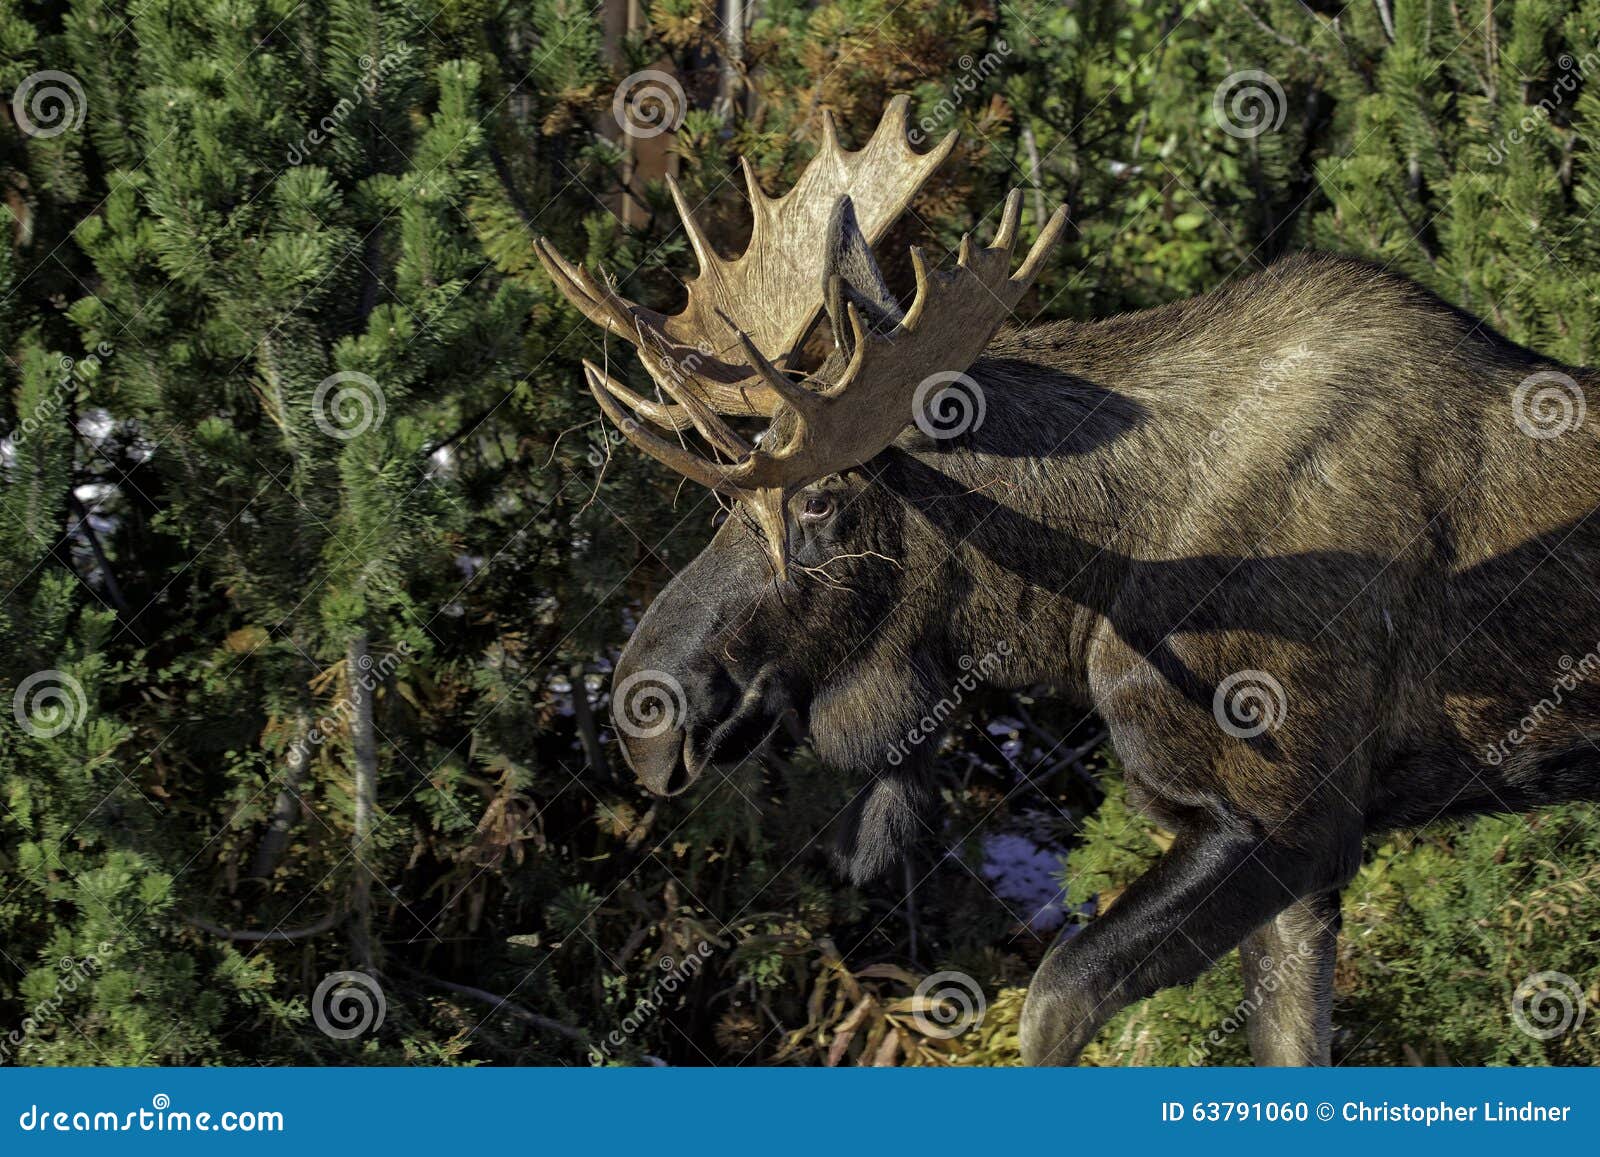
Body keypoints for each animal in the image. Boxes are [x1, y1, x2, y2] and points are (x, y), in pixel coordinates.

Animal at [536, 96, 1600, 1066]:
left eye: (821, 501)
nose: (642, 709)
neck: (1091, 596)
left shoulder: (1289, 818)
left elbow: (1052, 1001)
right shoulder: (1302, 863)